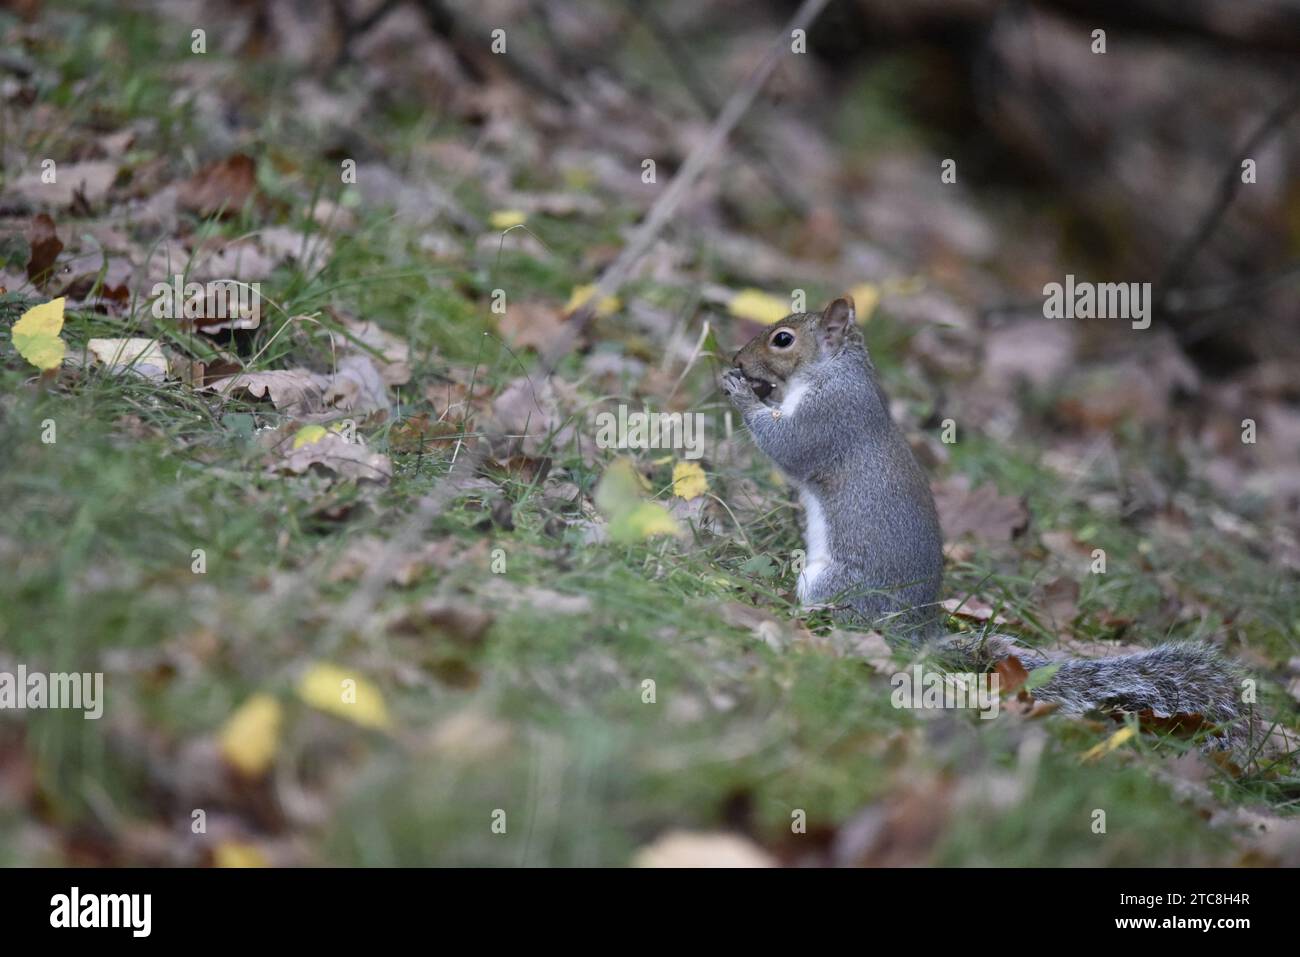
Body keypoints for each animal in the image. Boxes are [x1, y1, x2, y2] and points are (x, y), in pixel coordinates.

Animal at [720, 296, 1245, 743]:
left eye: (783, 339)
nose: (738, 359)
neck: (833, 372)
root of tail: (917, 636)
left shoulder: (829, 418)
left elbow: (789, 446)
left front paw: (740, 392)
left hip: (835, 584)